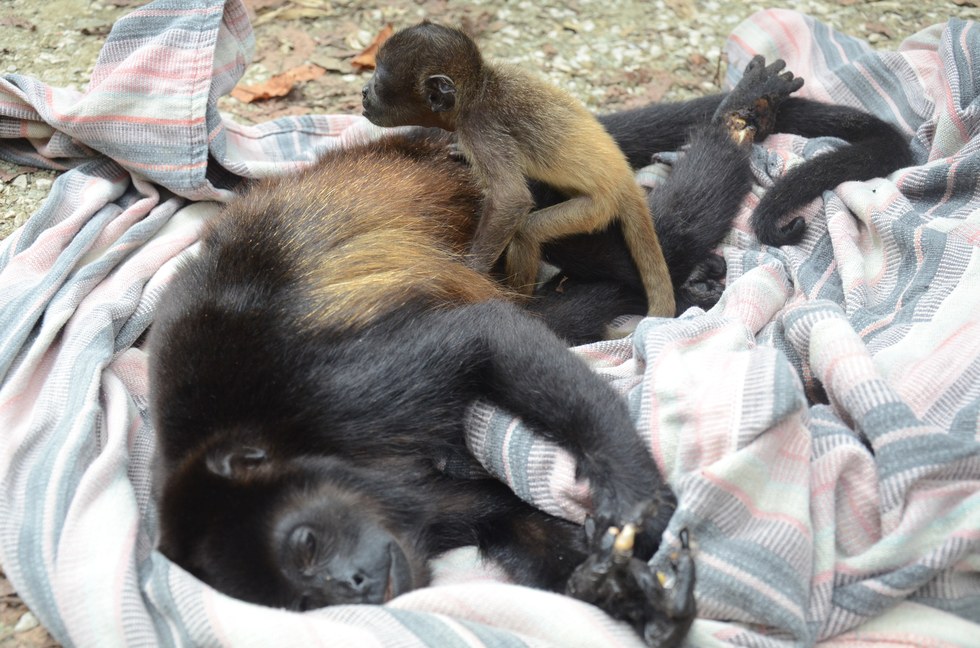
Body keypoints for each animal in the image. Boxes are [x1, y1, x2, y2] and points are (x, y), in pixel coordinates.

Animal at [360, 21, 677, 317]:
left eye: (378, 82)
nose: (363, 91)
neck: (478, 90)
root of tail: (623, 177)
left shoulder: (480, 127)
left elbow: (511, 199)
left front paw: (471, 273)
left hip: (597, 208)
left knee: (527, 231)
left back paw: (520, 300)